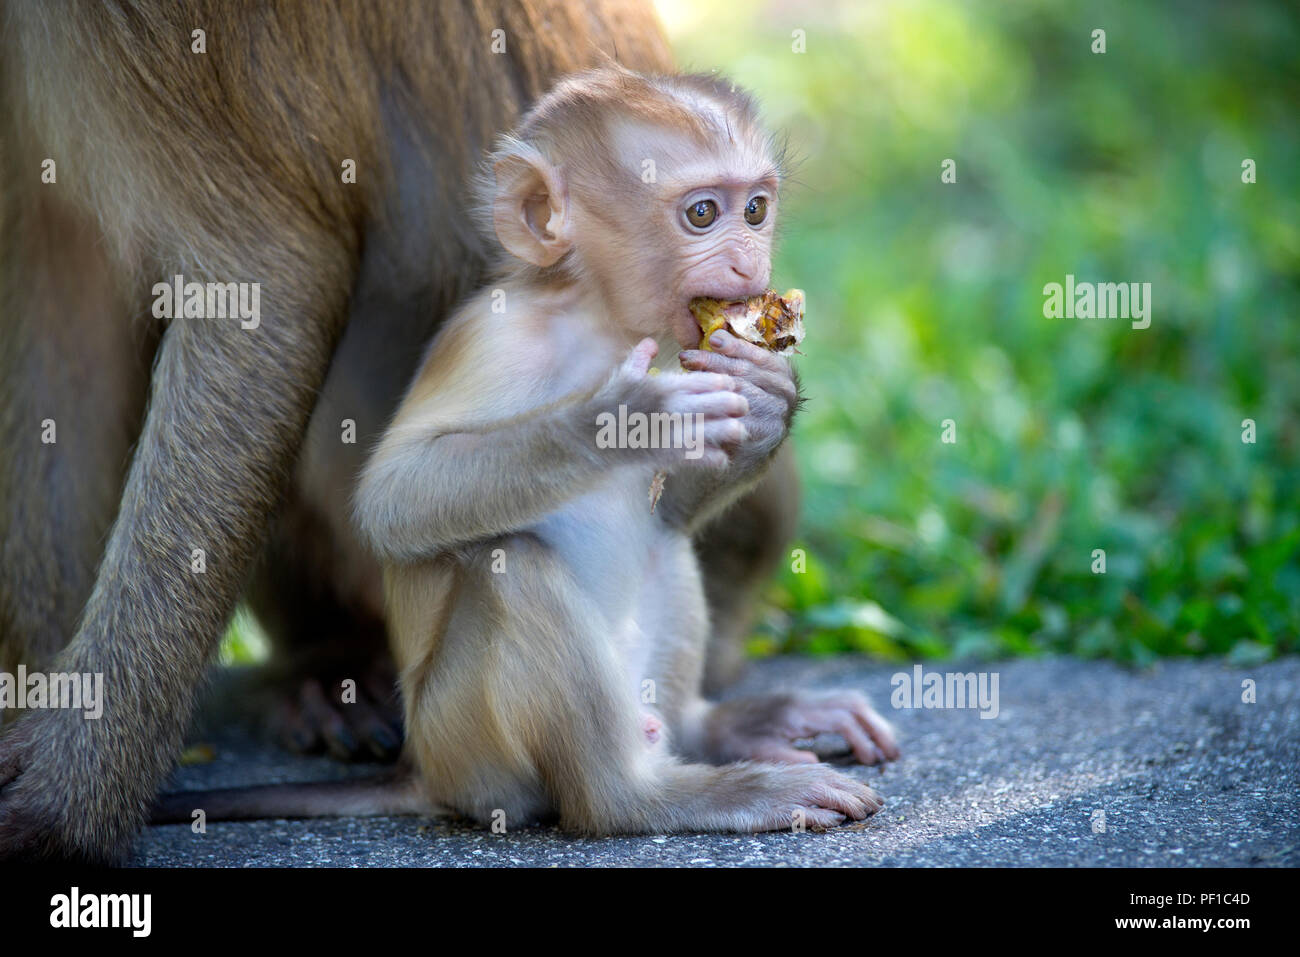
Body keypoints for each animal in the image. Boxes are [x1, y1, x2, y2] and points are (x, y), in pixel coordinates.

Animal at [153, 66, 899, 835]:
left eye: (754, 209)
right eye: (701, 214)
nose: (751, 261)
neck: (589, 317)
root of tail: (426, 772)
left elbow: (672, 503)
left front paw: (768, 404)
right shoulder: (491, 339)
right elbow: (394, 496)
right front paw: (622, 418)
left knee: (662, 545)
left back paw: (721, 729)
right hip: (468, 742)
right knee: (510, 567)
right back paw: (653, 795)